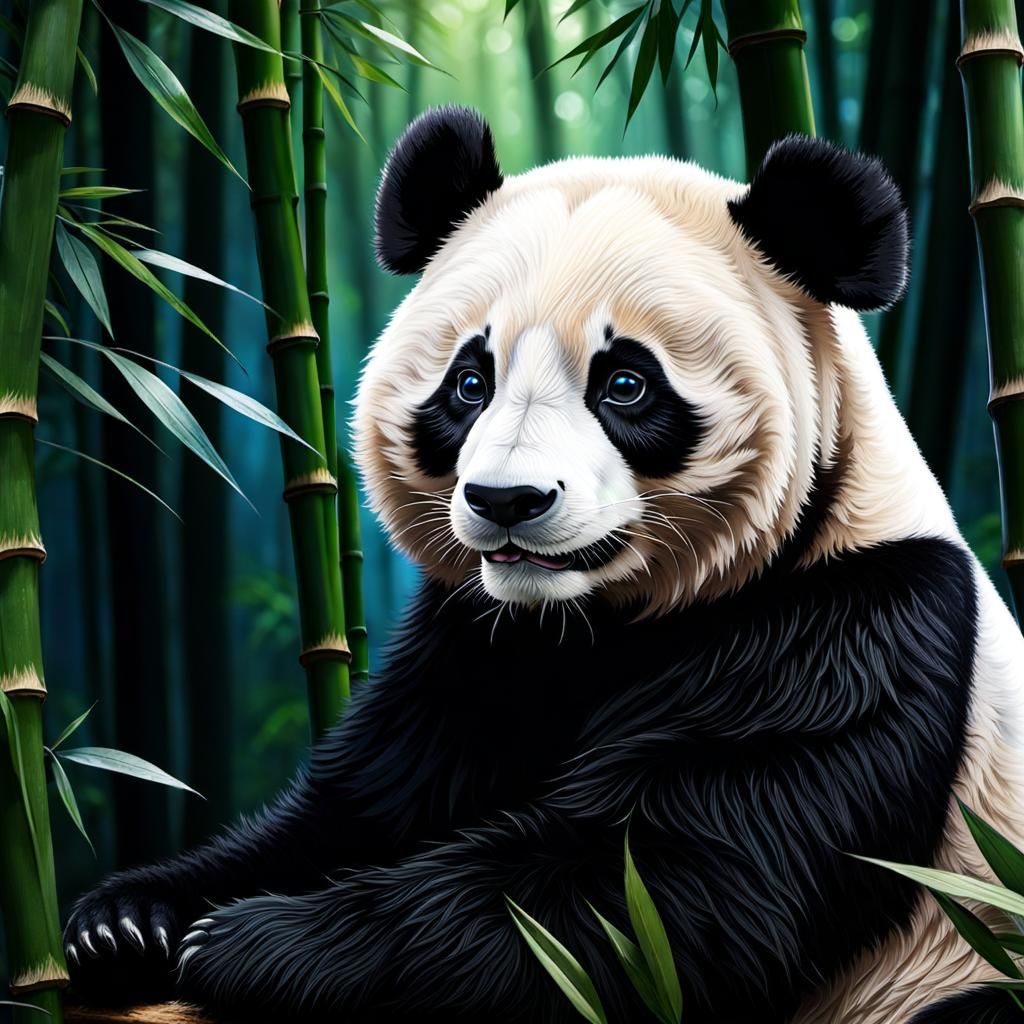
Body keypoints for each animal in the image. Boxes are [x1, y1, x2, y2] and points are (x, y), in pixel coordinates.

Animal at [63, 105, 1024, 1024]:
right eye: (469, 382)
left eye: (626, 383)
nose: (507, 500)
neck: (596, 616)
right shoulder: (474, 642)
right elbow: (358, 808)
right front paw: (128, 922)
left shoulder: (859, 625)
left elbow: (659, 886)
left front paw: (255, 942)